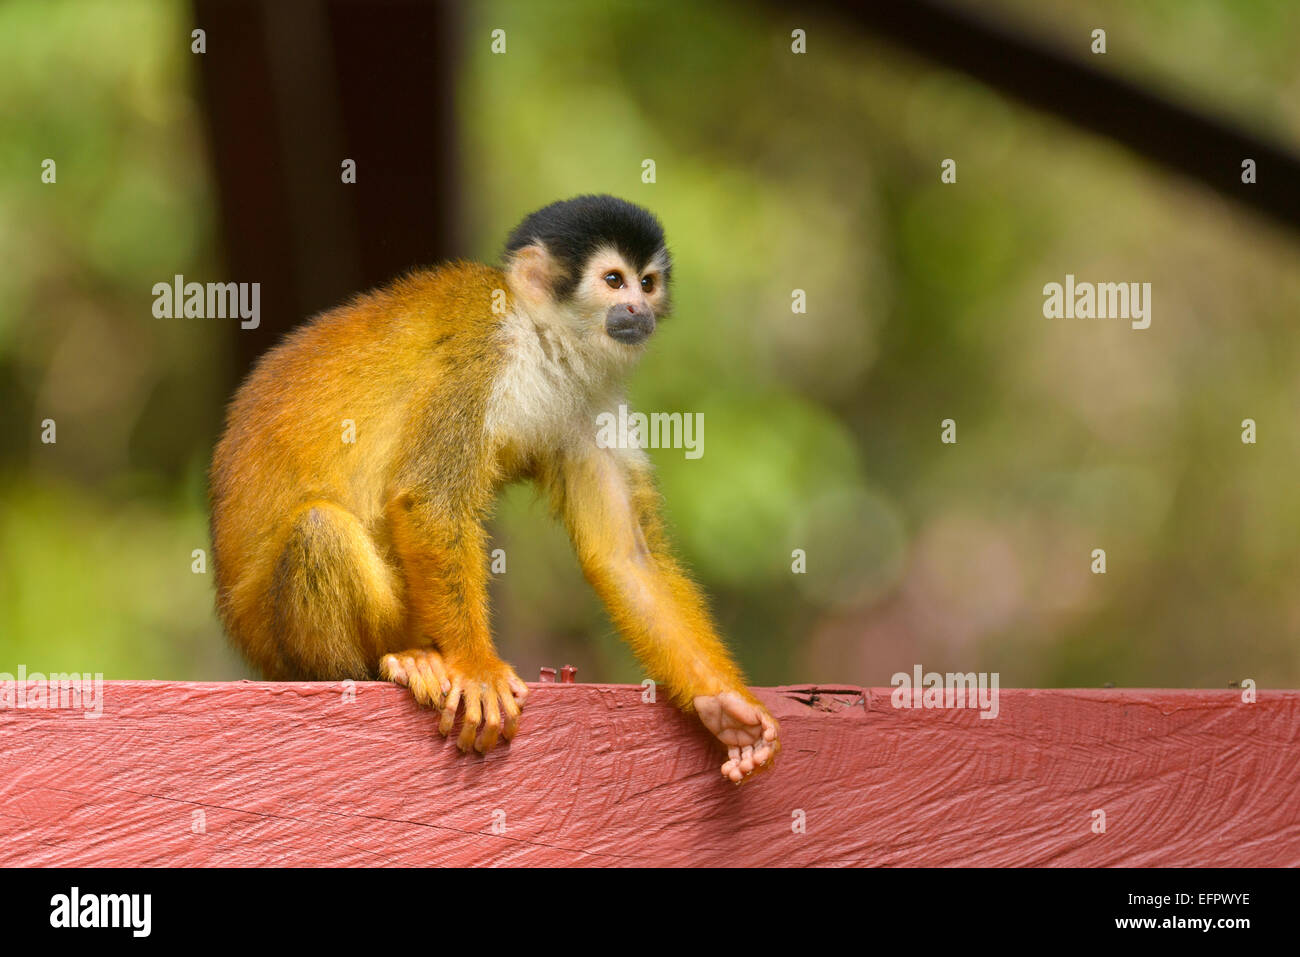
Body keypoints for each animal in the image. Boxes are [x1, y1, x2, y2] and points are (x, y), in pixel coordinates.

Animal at [209, 194, 779, 783]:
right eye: (614, 280)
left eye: (647, 283)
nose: (638, 311)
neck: (541, 341)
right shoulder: (480, 355)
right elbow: (431, 499)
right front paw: (478, 670)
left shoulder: (590, 398)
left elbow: (624, 555)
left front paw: (724, 707)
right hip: (275, 636)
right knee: (320, 529)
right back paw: (383, 664)